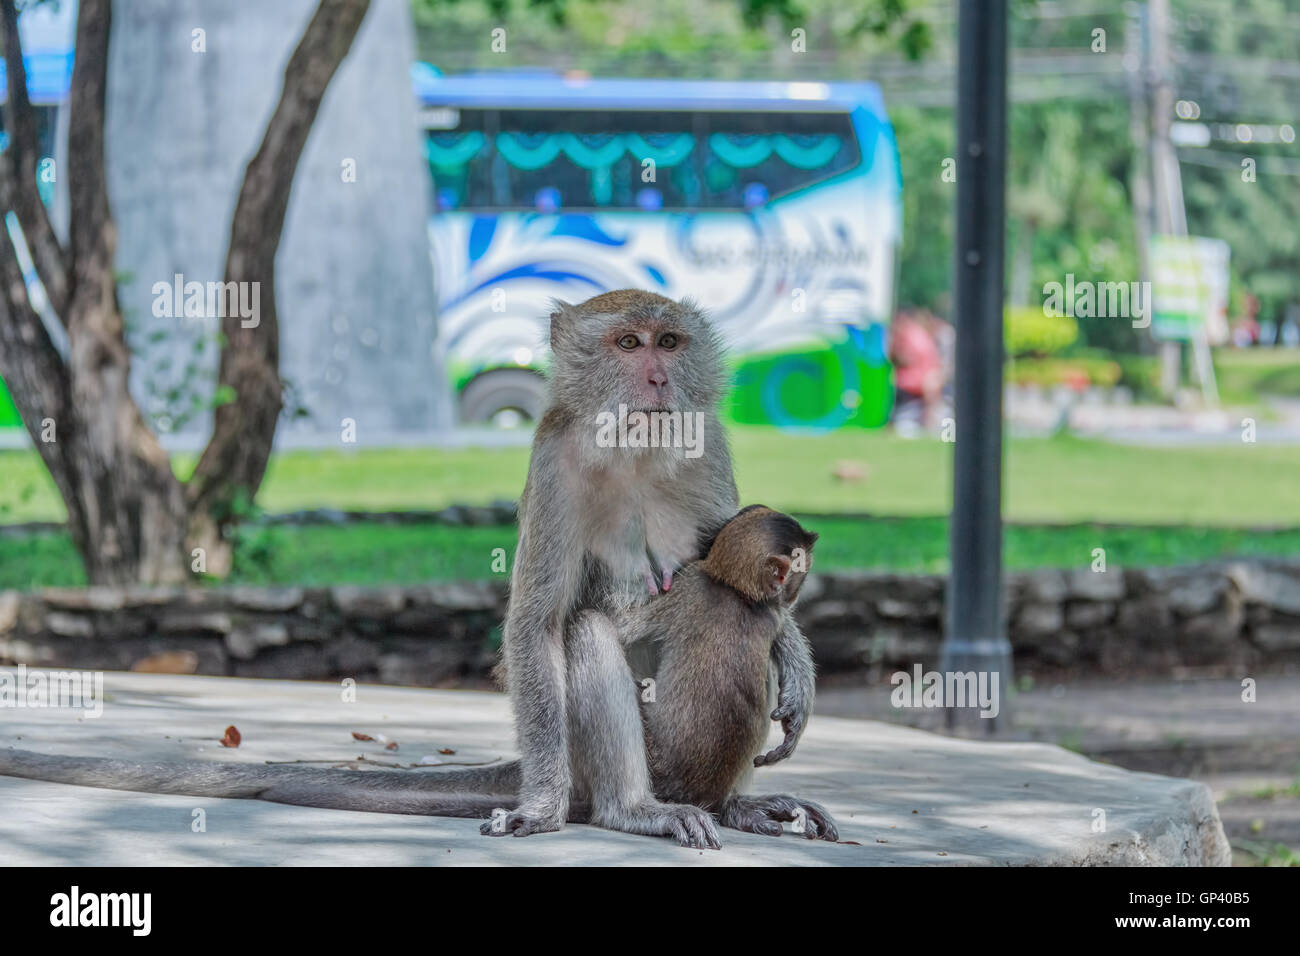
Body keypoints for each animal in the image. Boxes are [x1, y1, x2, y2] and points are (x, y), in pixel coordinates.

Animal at [0, 291, 822, 849]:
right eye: (628, 343)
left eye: (669, 342)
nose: (656, 382)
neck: (636, 451)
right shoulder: (553, 466)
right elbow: (539, 624)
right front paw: (541, 807)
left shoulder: (708, 445)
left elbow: (746, 565)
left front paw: (795, 658)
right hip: (618, 753)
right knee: (590, 630)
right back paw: (634, 808)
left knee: (728, 606)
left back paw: (733, 803)